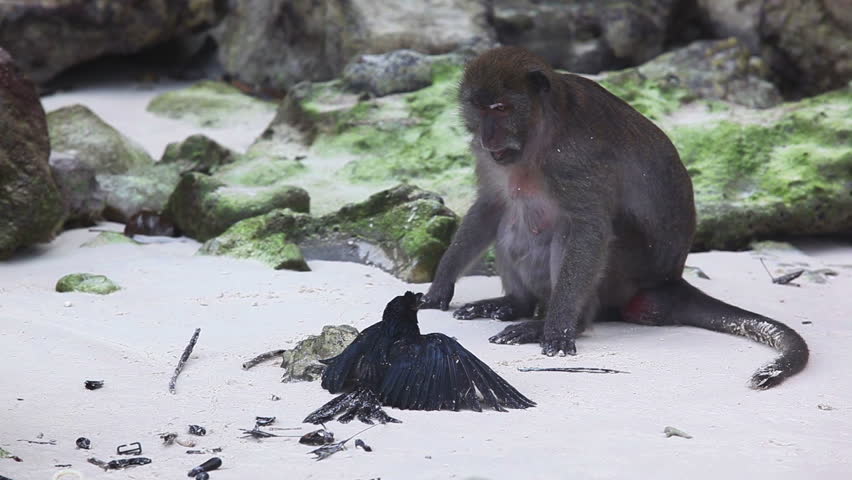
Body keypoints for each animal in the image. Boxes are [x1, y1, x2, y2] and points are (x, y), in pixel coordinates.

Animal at [419, 46, 808, 389]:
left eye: (501, 108)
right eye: (479, 108)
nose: (487, 137)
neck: (539, 136)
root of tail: (667, 282)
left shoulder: (574, 157)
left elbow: (589, 227)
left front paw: (558, 327)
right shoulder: (489, 159)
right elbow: (491, 206)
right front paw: (441, 284)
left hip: (626, 275)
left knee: (577, 232)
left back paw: (562, 321)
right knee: (512, 219)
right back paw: (516, 304)